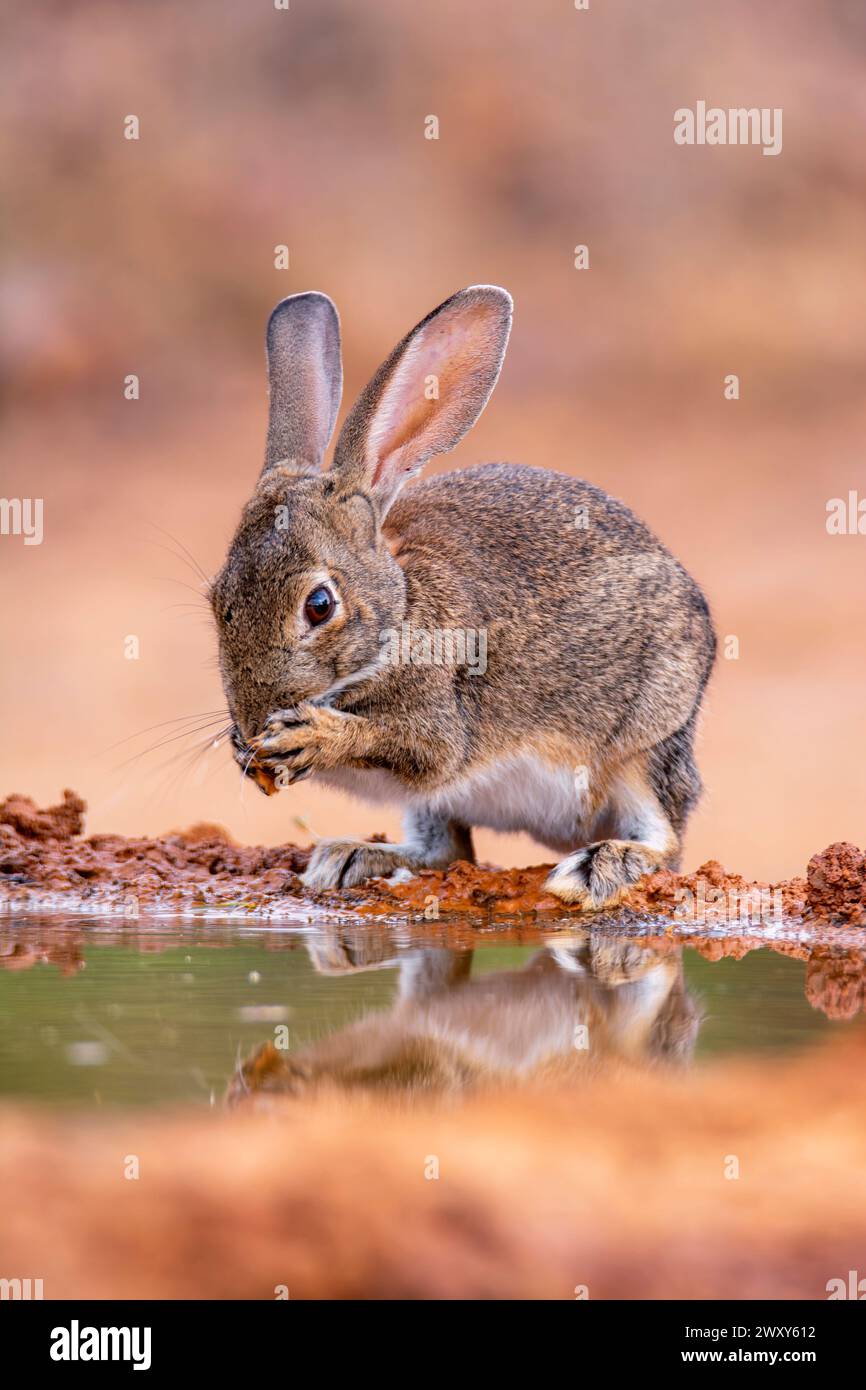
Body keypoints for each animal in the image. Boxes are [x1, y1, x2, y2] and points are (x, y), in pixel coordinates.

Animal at [211, 286, 716, 908]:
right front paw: (247, 749)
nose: (253, 717)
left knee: (666, 841)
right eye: (217, 599)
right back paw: (351, 857)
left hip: (647, 740)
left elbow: (421, 748)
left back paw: (598, 867)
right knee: (447, 852)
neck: (400, 613)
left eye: (320, 605)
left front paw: (308, 738)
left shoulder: (441, 725)